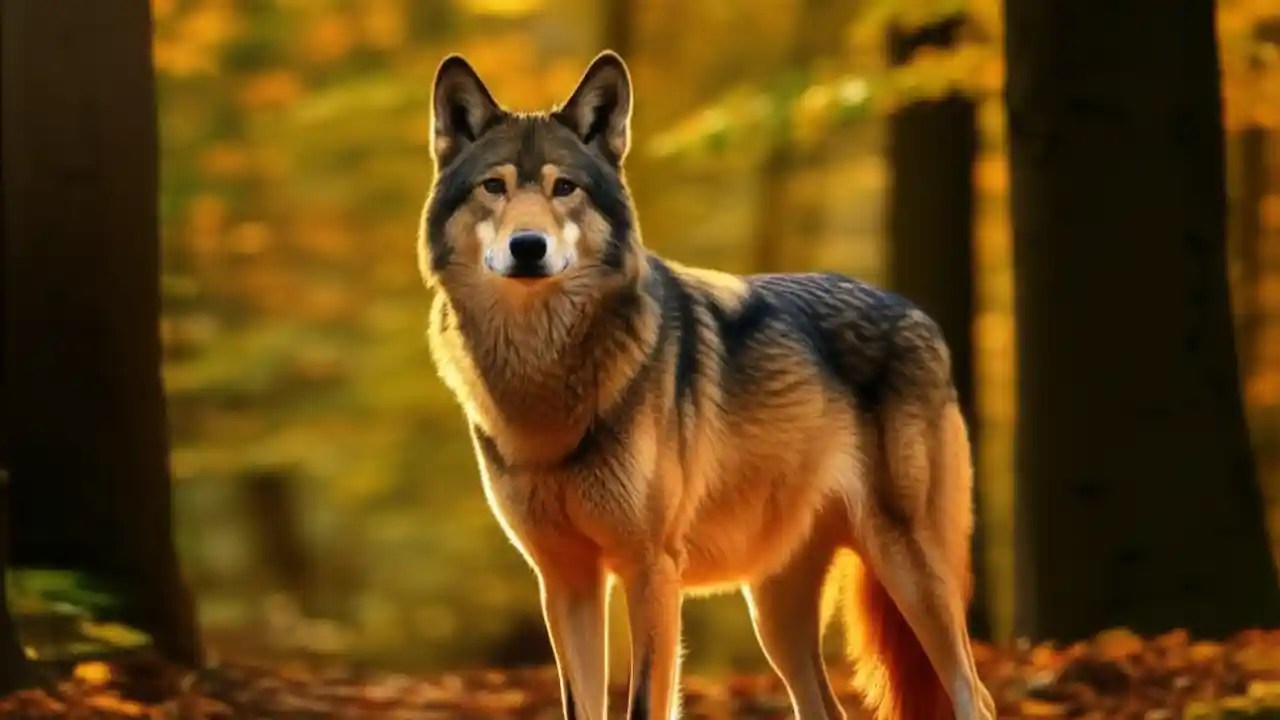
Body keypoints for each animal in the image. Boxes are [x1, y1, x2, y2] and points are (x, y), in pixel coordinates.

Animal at [419, 51, 996, 720]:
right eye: (495, 186)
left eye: (565, 188)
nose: (528, 246)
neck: (543, 372)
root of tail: (917, 312)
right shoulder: (565, 581)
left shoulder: (650, 570)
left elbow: (645, 702)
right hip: (776, 614)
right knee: (829, 707)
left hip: (912, 572)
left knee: (976, 696)